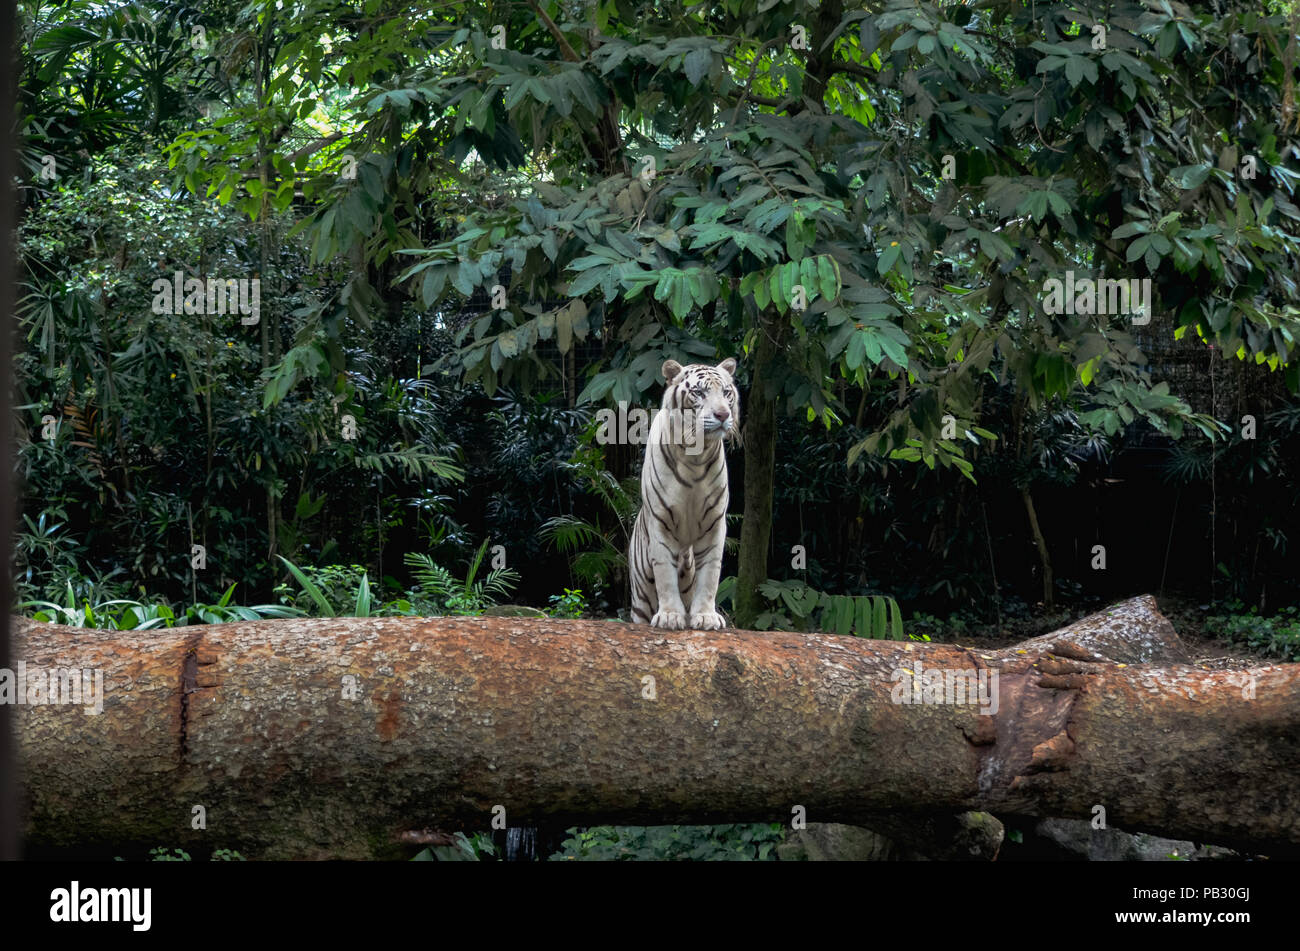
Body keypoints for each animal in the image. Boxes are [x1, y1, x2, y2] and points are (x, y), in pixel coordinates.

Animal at [628, 357, 740, 630]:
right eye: (699, 393)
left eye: (726, 393)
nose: (723, 414)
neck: (695, 457)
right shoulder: (660, 521)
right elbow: (665, 574)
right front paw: (669, 616)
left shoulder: (714, 524)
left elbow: (710, 574)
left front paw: (706, 617)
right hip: (641, 596)